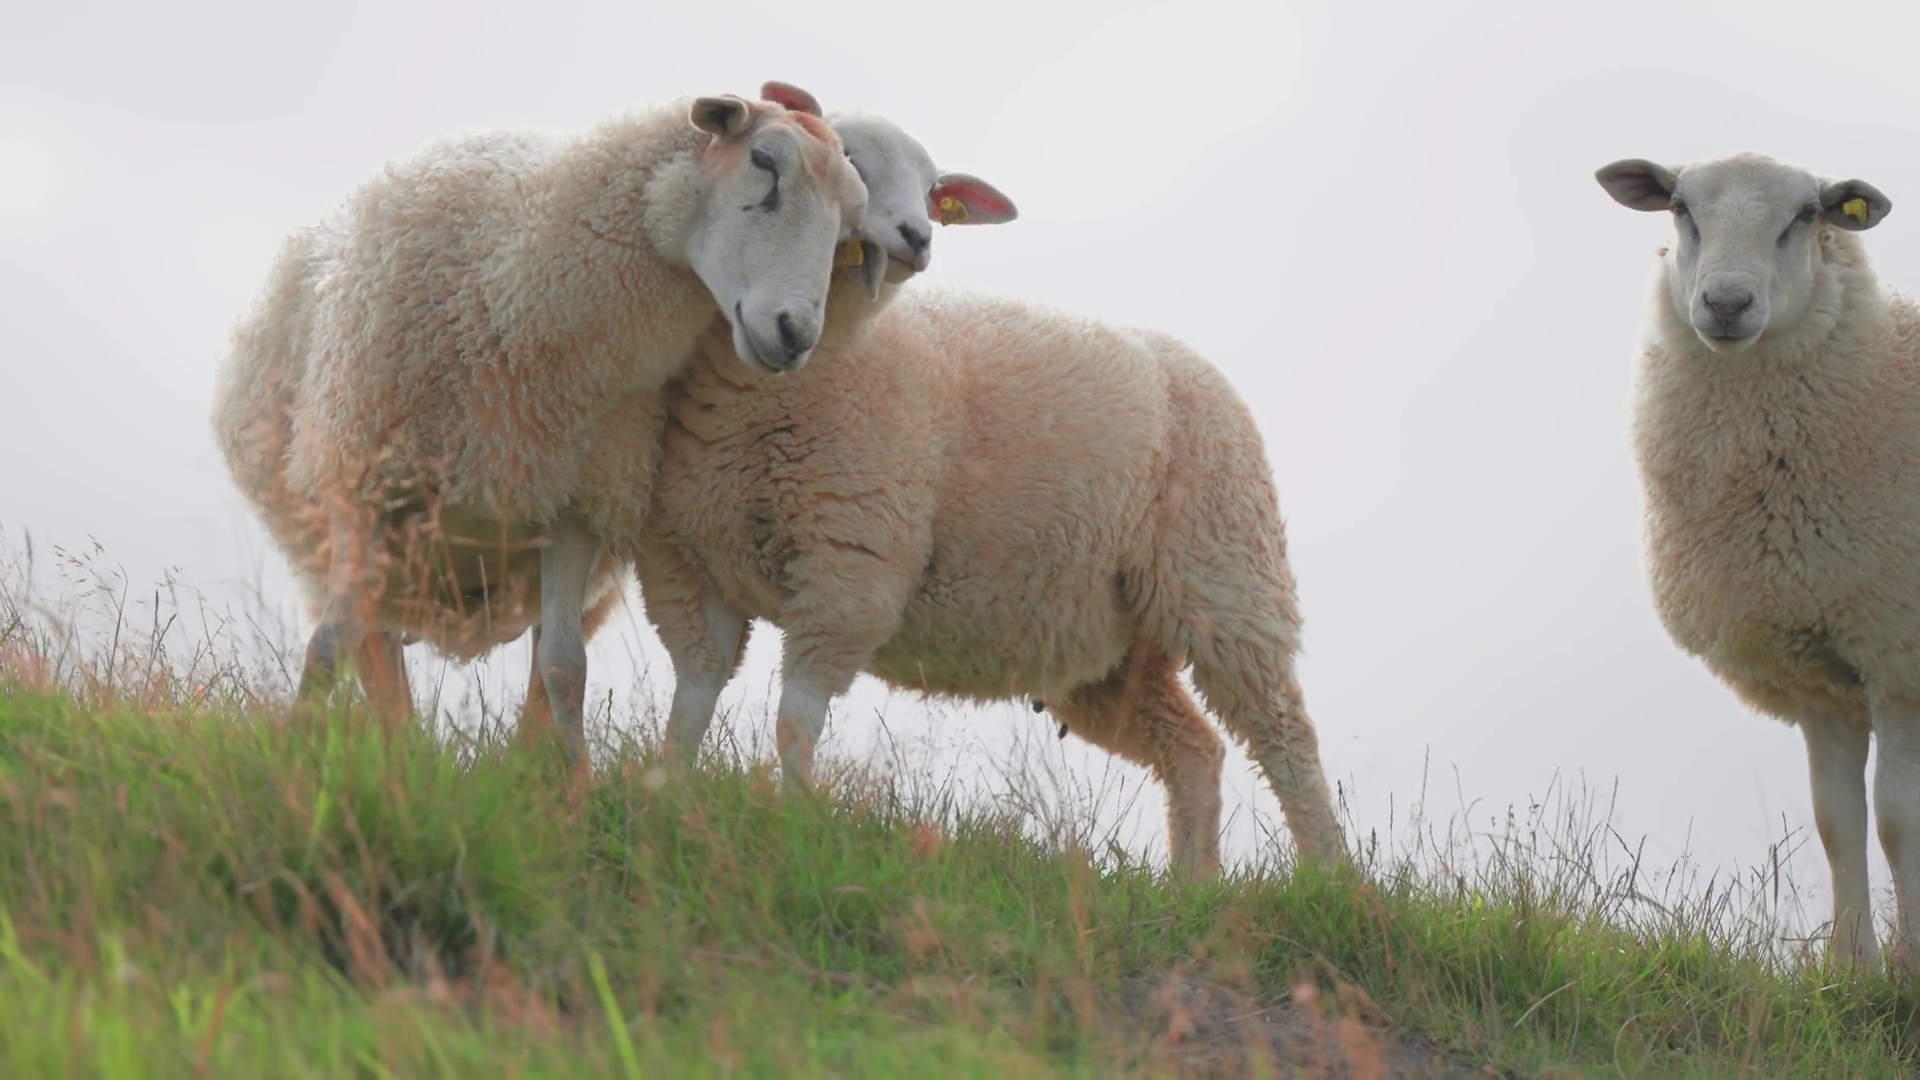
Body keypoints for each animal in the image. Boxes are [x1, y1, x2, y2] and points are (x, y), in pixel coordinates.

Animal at [210, 89, 874, 761]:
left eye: (849, 223)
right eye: (764, 163)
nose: (796, 335)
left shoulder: (572, 501)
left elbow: (564, 667)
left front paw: (576, 779)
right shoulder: (365, 483)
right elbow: (327, 646)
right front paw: (292, 756)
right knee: (371, 646)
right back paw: (402, 754)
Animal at [628, 90, 1347, 876]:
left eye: (932, 188)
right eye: (851, 160)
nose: (918, 236)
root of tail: (1180, 354)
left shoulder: (850, 569)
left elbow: (797, 716)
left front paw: (793, 828)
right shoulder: (690, 560)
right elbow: (693, 695)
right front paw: (668, 800)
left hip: (1228, 575)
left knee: (1285, 738)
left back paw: (1333, 879)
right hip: (1106, 645)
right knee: (1195, 749)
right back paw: (1194, 887)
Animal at [1596, 152, 1911, 972]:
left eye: (1805, 215)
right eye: (1680, 207)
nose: (1727, 303)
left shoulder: (1898, 655)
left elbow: (1897, 820)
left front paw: (1909, 970)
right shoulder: (1820, 672)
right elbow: (1838, 821)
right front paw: (1853, 975)